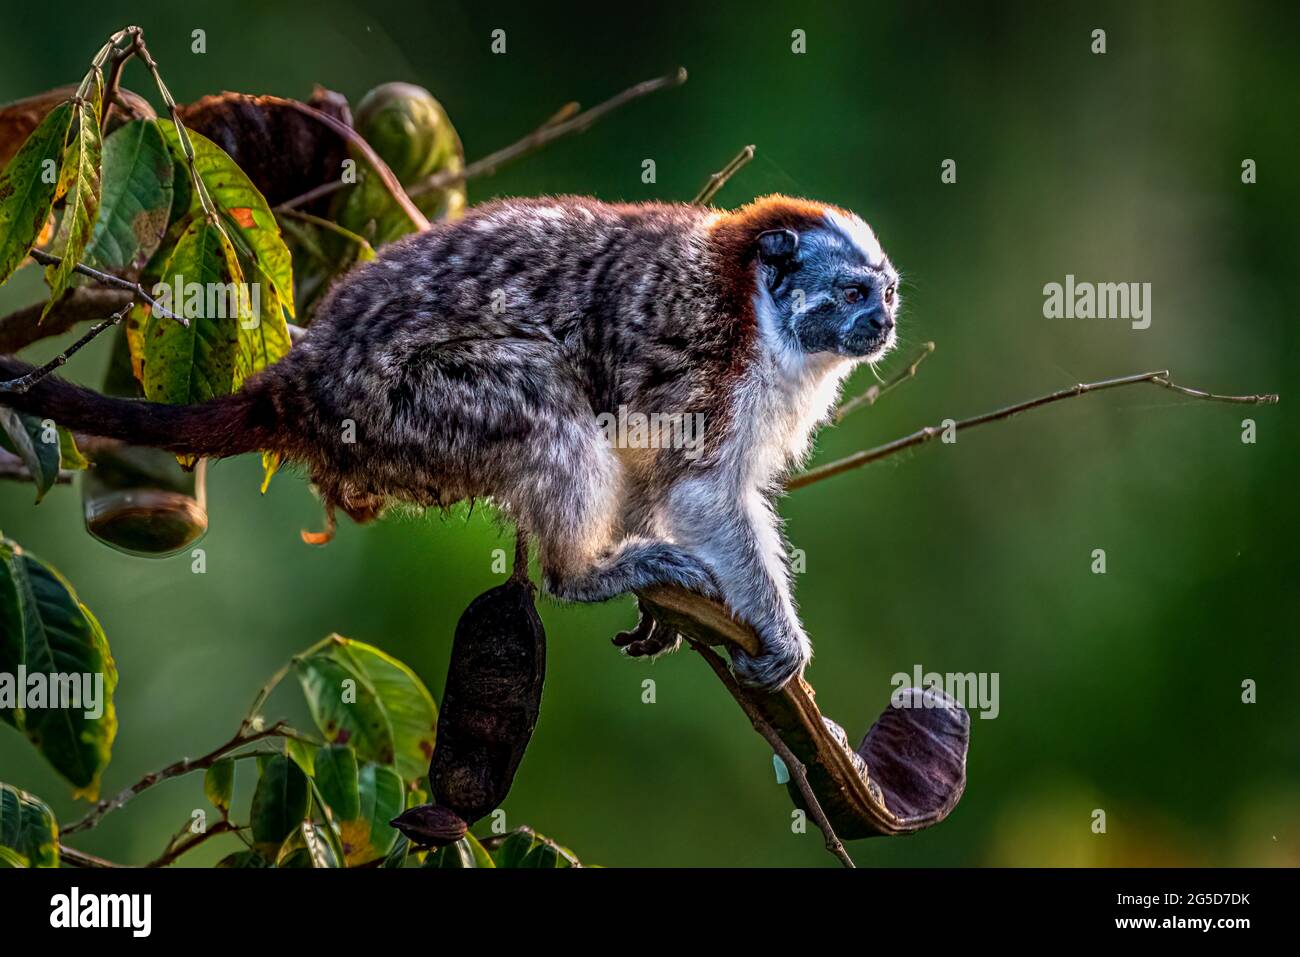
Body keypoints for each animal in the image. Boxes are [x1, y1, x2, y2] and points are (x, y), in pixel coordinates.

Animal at [0, 194, 900, 691]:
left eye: (886, 294)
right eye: (855, 293)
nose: (885, 322)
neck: (759, 309)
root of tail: (304, 379)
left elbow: (659, 476)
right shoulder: (716, 358)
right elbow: (701, 488)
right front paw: (779, 633)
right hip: (405, 410)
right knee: (545, 398)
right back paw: (577, 573)